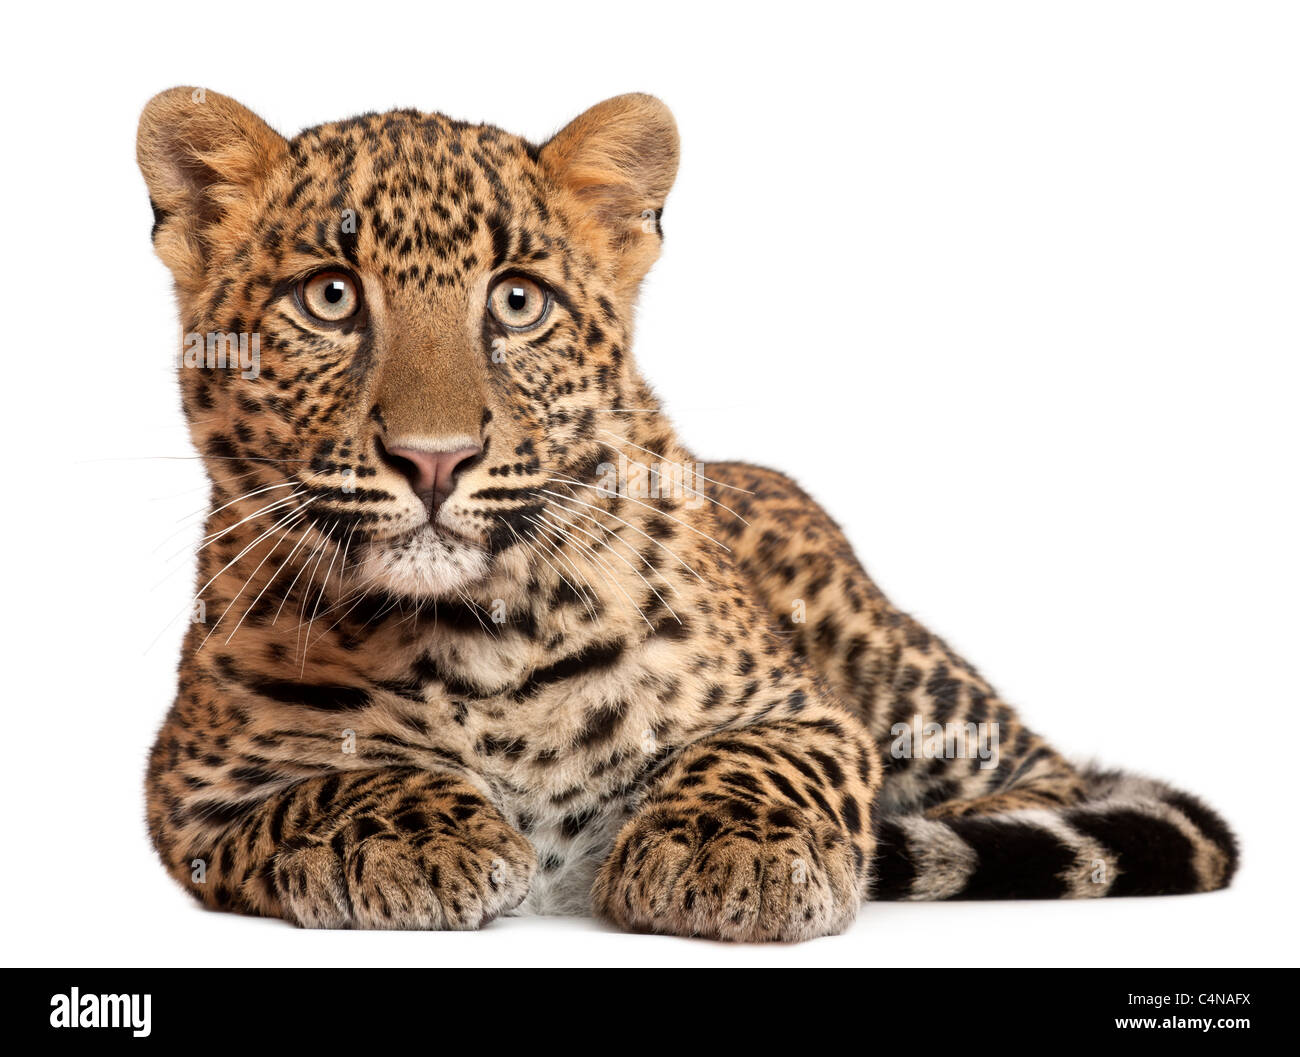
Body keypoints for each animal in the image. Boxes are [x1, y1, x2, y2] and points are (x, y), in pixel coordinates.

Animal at [136, 87, 1238, 940]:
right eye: (328, 296)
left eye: (518, 302)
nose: (434, 458)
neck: (468, 637)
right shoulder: (189, 785)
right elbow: (324, 779)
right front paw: (417, 832)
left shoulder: (803, 711)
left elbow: (758, 755)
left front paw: (727, 850)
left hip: (901, 669)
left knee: (1053, 776)